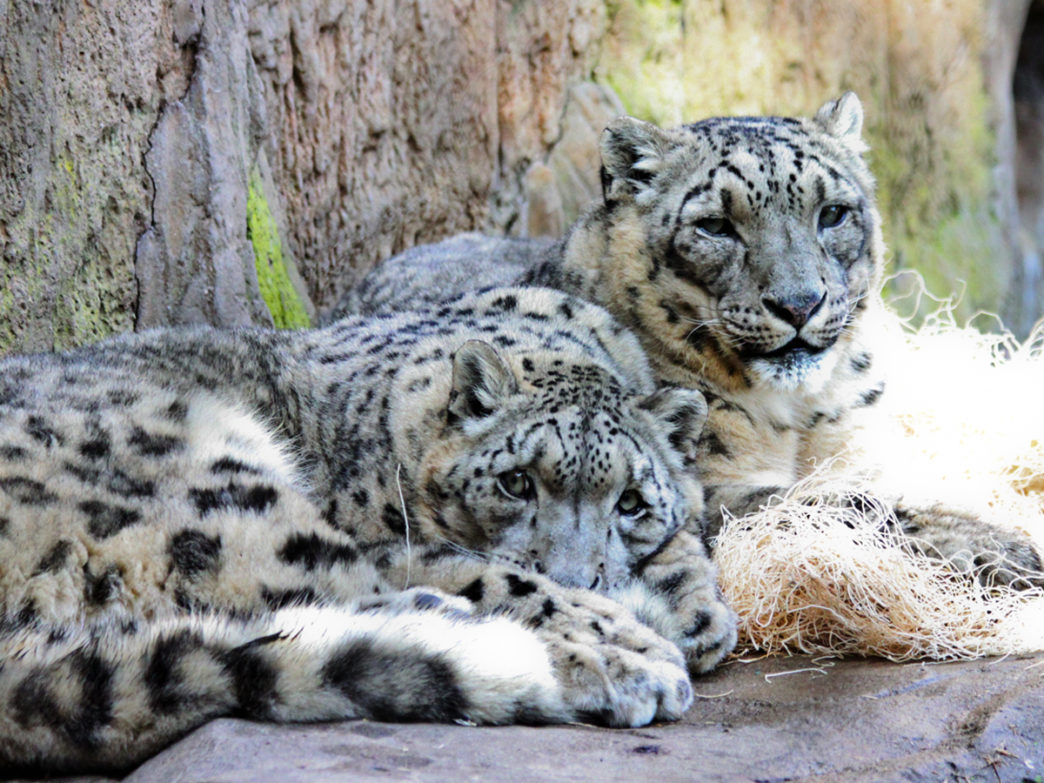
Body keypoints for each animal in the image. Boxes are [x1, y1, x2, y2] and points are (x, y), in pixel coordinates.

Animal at [0, 286, 737, 774]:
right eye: (515, 482)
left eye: (632, 502)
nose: (576, 572)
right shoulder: (397, 542)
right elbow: (494, 571)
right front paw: (632, 629)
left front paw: (698, 608)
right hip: (217, 489)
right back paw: (616, 664)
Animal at [331, 93, 1044, 590]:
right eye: (716, 226)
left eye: (833, 214)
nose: (799, 303)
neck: (800, 416)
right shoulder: (709, 484)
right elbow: (842, 502)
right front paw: (1001, 544)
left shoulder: (862, 448)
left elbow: (866, 487)